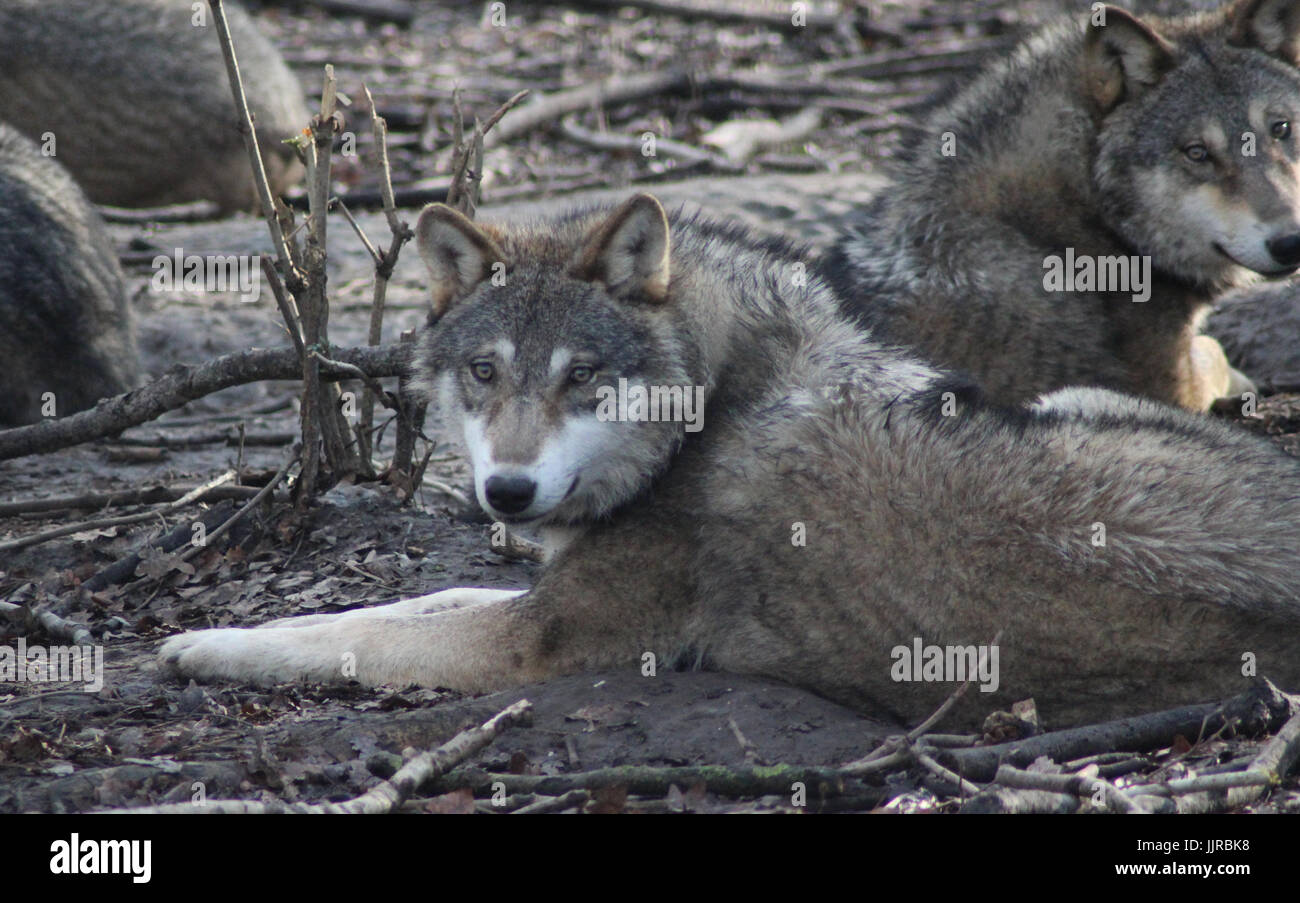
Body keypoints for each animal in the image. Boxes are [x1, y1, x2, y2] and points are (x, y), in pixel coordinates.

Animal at [161, 193, 1300, 730]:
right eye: (486, 373)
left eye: (583, 378)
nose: (508, 491)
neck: (705, 409)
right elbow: (407, 600)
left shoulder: (537, 643)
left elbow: (363, 631)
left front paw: (205, 644)